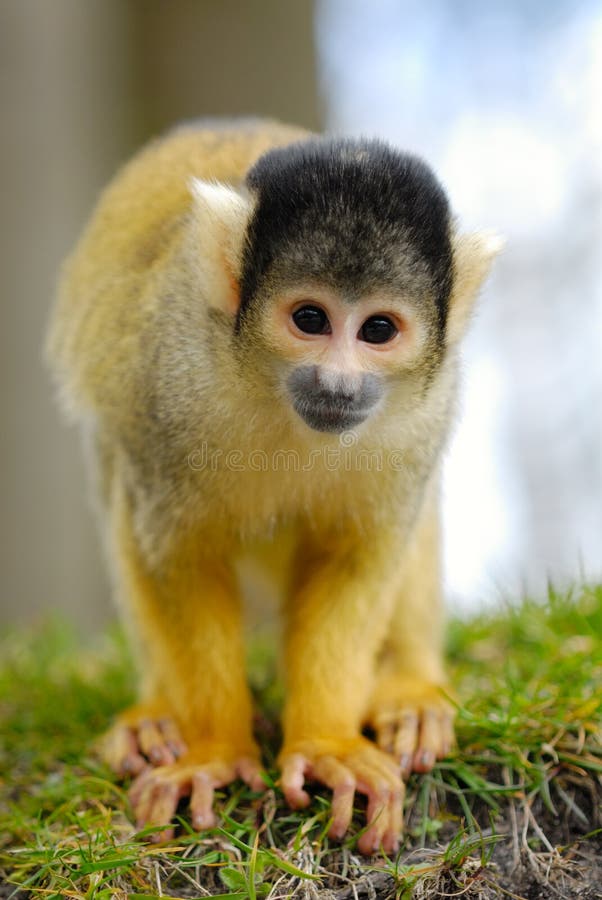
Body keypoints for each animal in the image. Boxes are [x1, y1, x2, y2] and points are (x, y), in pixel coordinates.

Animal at [46, 118, 501, 855]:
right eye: (310, 319)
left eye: (378, 329)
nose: (339, 385)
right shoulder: (167, 381)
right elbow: (179, 555)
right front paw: (214, 750)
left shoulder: (424, 415)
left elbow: (358, 557)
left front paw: (325, 745)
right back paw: (158, 715)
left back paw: (409, 689)